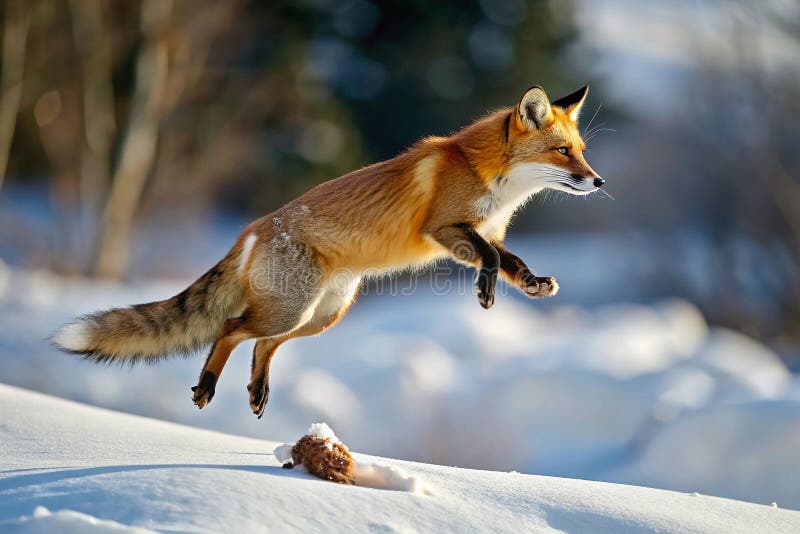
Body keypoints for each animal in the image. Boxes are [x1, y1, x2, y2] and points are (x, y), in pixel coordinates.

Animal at [54, 84, 604, 417]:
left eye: (581, 151)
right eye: (562, 152)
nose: (598, 181)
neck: (490, 179)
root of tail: (252, 228)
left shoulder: (481, 233)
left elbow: (510, 261)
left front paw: (533, 284)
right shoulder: (444, 229)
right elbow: (490, 260)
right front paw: (486, 292)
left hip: (321, 314)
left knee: (263, 344)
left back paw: (257, 391)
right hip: (294, 308)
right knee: (231, 329)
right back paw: (207, 385)